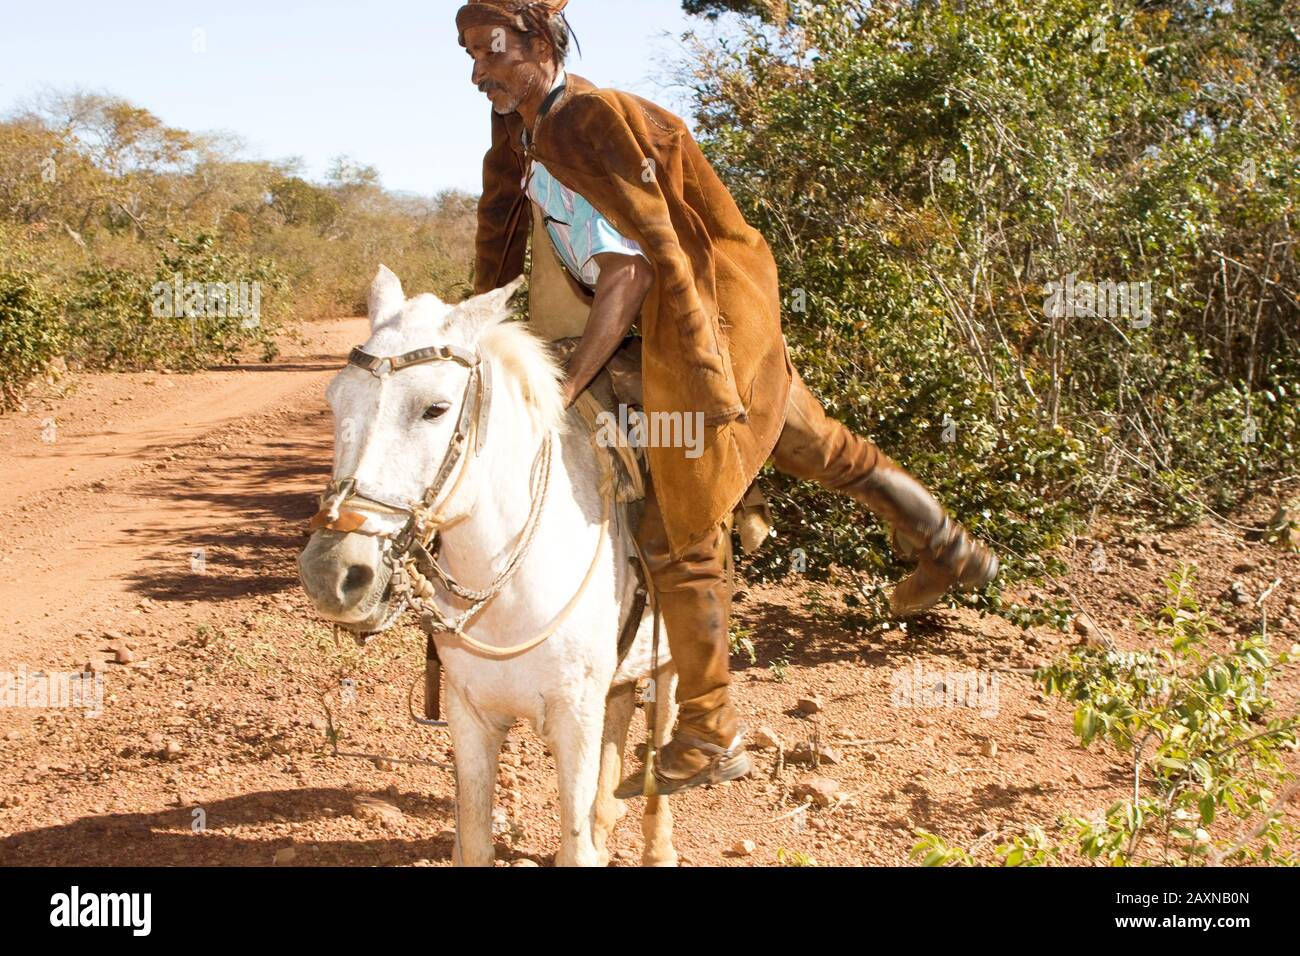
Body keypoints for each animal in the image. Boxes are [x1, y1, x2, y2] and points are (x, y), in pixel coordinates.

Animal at [298, 266, 677, 867]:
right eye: (336, 401)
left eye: (435, 408)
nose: (332, 574)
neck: (509, 592)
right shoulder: (471, 719)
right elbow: (475, 837)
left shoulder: (573, 722)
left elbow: (575, 846)